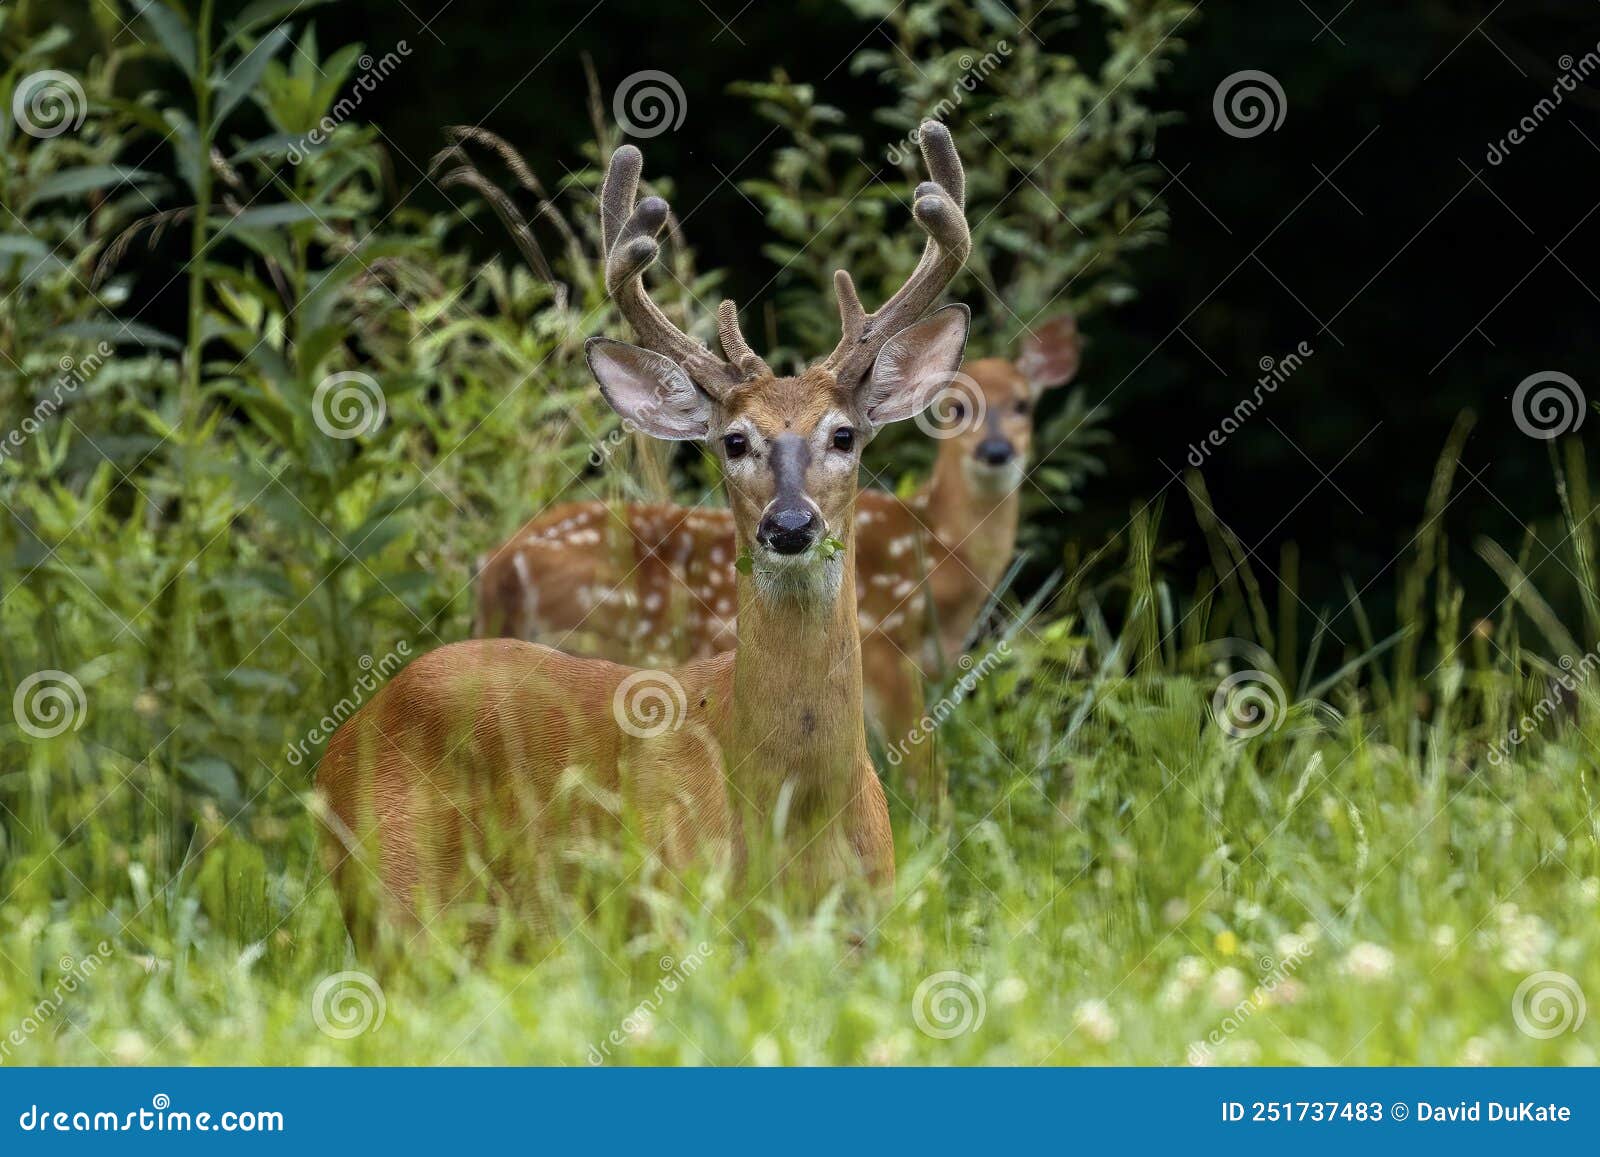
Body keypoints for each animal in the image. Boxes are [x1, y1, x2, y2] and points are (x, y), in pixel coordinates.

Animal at [316, 121, 972, 940]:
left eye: (845, 434)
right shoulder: (671, 915)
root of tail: (341, 743)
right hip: (395, 908)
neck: (796, 815)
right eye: (733, 440)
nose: (789, 525)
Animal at [472, 318, 1082, 801]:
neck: (938, 553)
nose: (996, 451)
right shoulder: (888, 656)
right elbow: (927, 785)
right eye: (953, 409)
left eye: (1022, 403)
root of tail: (502, 564)